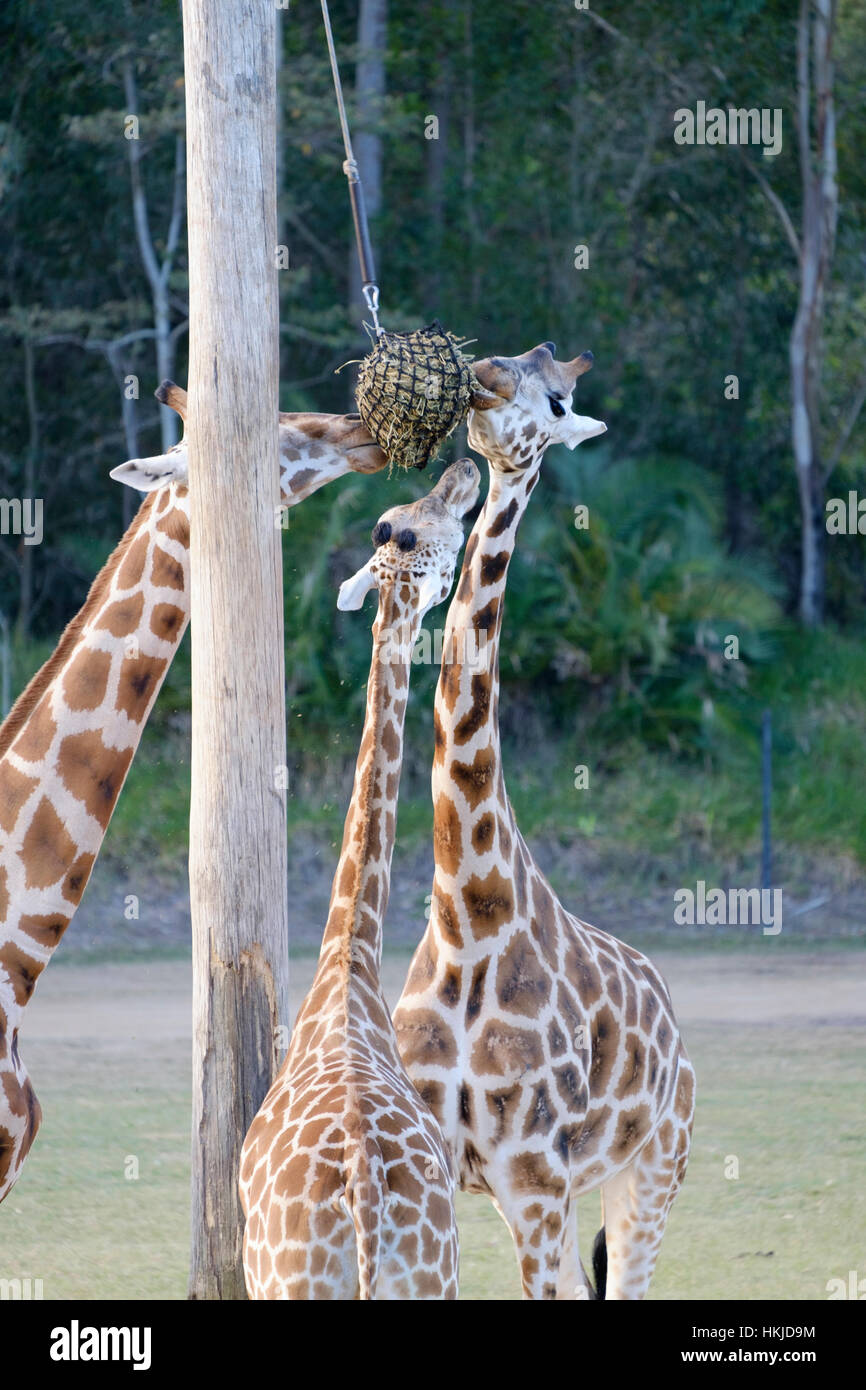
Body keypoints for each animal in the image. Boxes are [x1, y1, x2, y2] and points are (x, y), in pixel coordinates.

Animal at [239, 458, 481, 1301]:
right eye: (415, 521)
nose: (464, 468)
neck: (349, 959)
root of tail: (364, 1193)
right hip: (421, 1280)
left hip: (298, 1281)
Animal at [393, 344, 696, 1300]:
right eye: (507, 358)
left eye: (557, 399)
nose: (483, 375)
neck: (469, 918)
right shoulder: (453, 1162)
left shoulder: (533, 1170)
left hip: (651, 1167)